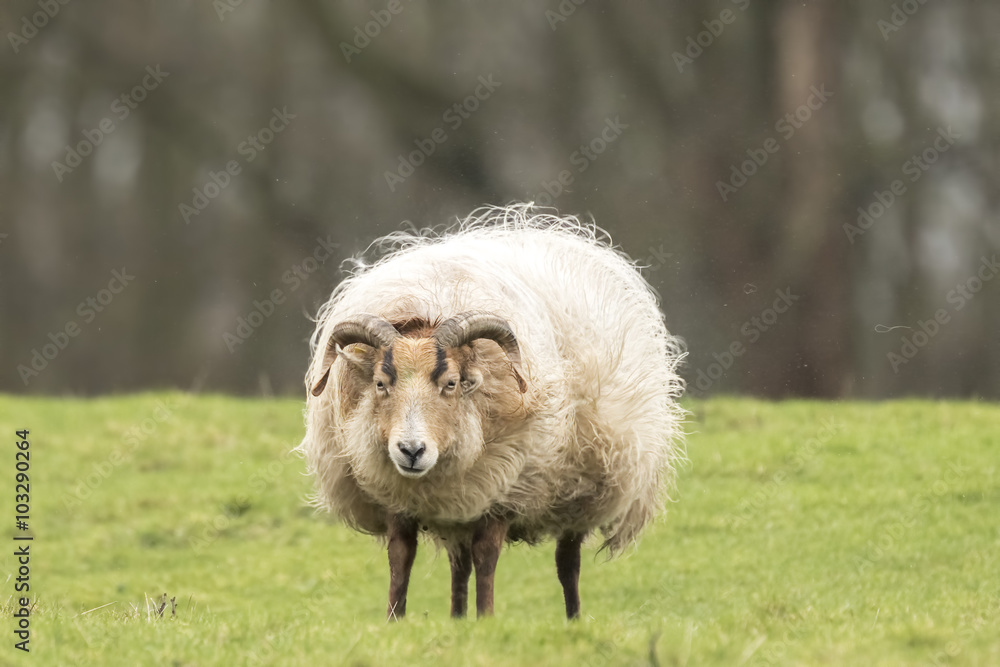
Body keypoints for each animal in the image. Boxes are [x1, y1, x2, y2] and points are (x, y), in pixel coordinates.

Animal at [298, 204, 685, 620]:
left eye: (451, 383)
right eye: (381, 384)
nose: (411, 451)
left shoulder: (502, 492)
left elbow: (487, 558)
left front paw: (486, 620)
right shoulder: (400, 501)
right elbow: (401, 559)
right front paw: (395, 621)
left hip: (581, 489)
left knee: (567, 563)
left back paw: (573, 619)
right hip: (464, 508)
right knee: (459, 565)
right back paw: (456, 619)